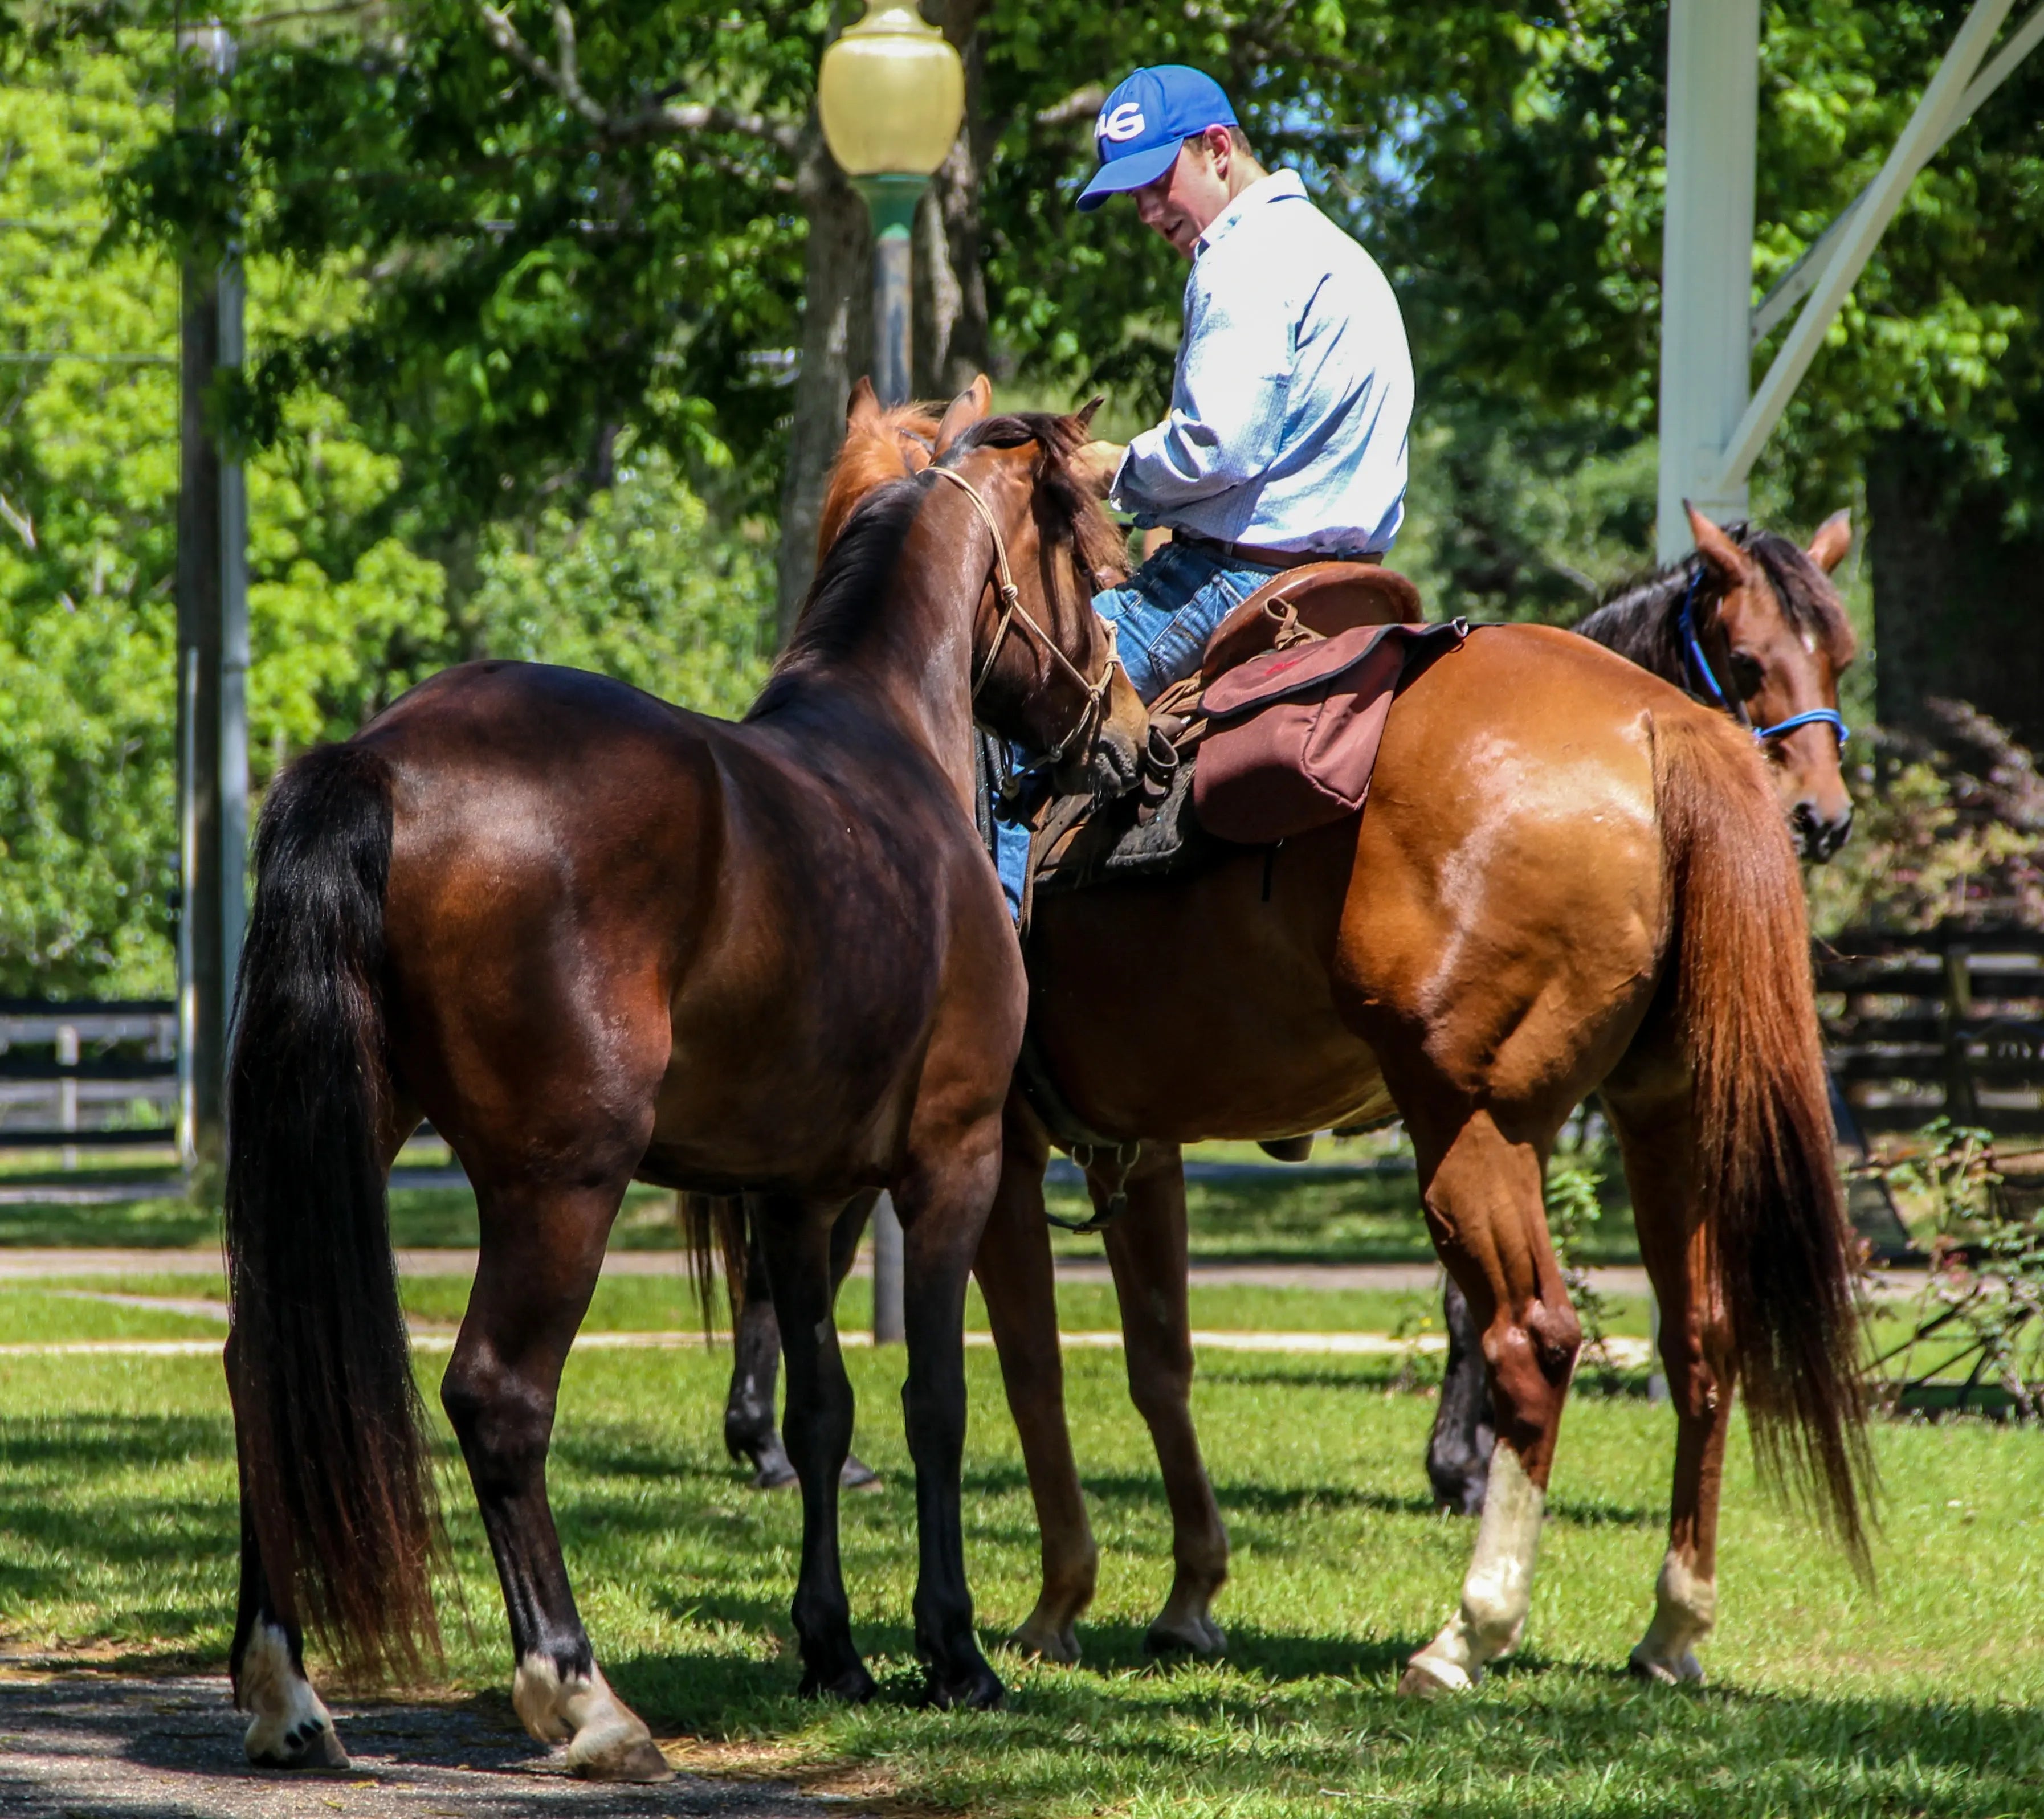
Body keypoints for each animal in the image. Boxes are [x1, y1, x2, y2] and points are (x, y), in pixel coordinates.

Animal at [220, 389, 1150, 1780]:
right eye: (1095, 565)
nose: (1134, 738)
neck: (888, 749)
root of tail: (382, 758)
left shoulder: (797, 1194)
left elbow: (820, 1411)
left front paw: (832, 1650)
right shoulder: (949, 1167)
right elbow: (934, 1402)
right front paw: (953, 1653)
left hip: (356, 1132)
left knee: (260, 1365)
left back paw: (286, 1690)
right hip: (562, 1185)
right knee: (498, 1396)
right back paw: (580, 1693)